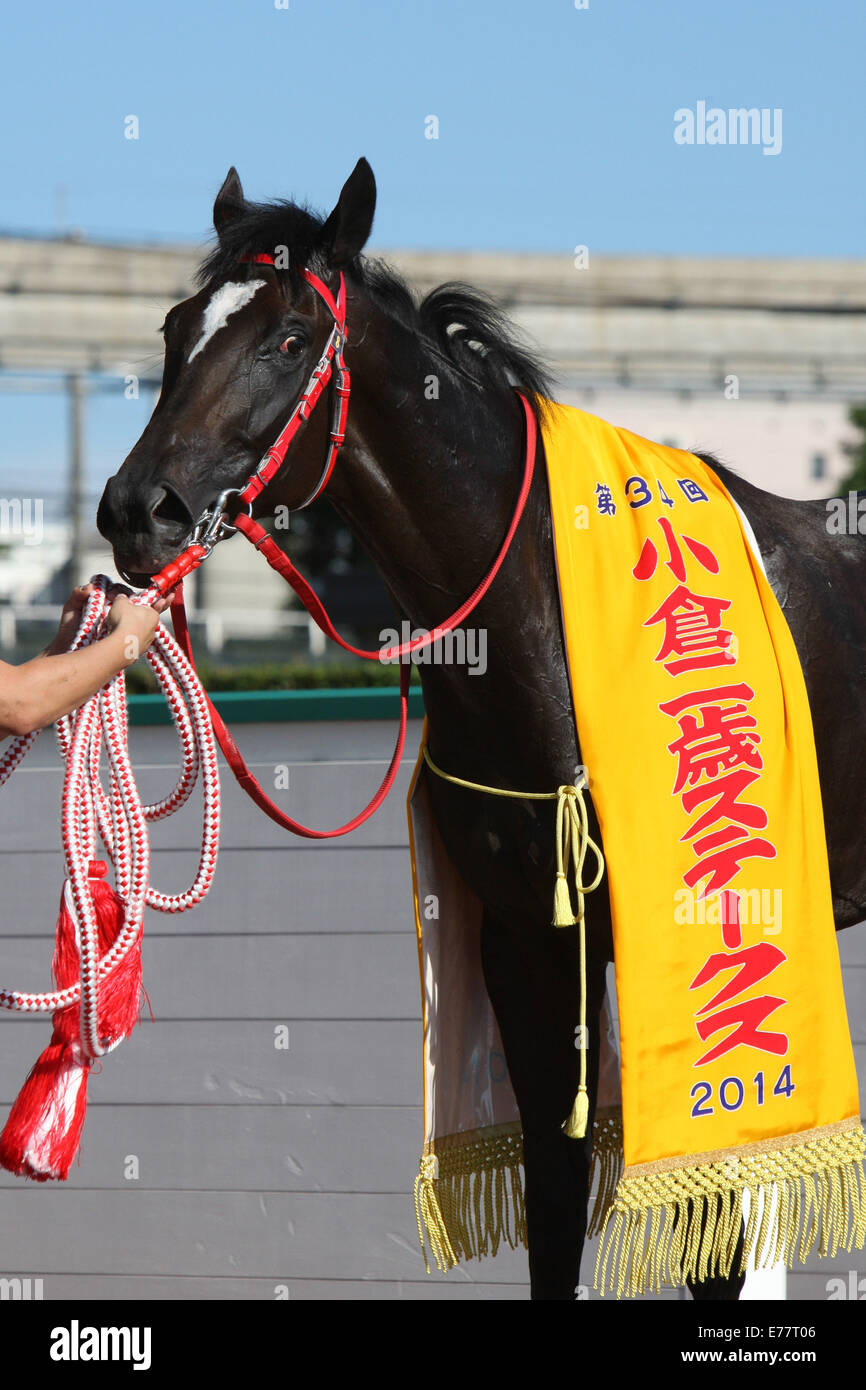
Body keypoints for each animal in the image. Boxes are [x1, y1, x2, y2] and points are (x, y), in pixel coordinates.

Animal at [96, 158, 866, 1301]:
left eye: (288, 338)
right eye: (175, 325)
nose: (135, 509)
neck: (539, 619)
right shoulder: (524, 935)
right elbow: (553, 1191)